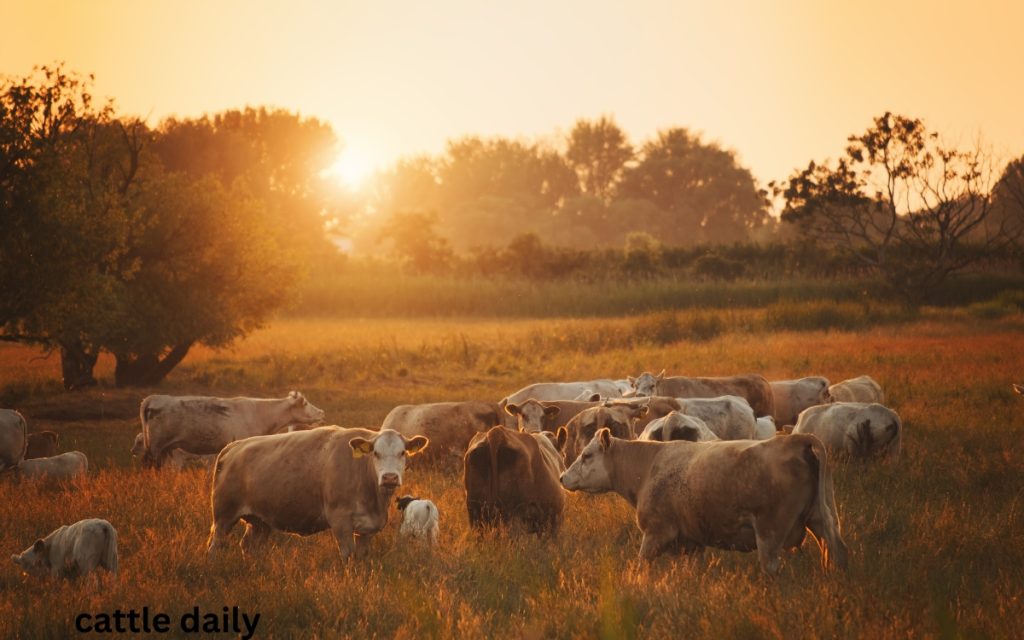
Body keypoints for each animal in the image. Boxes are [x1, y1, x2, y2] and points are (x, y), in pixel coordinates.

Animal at [208, 427, 427, 560]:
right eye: (376, 453)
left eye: (402, 452)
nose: (389, 477)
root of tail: (234, 447)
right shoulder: (340, 522)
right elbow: (348, 556)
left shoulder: (367, 528)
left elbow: (361, 557)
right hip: (224, 515)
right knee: (215, 543)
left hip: (260, 522)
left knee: (249, 545)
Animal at [560, 428, 849, 574]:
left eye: (587, 455)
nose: (563, 477)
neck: (648, 466)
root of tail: (795, 439)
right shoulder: (691, 542)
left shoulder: (656, 532)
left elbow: (641, 565)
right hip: (822, 518)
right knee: (837, 552)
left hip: (770, 531)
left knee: (771, 567)